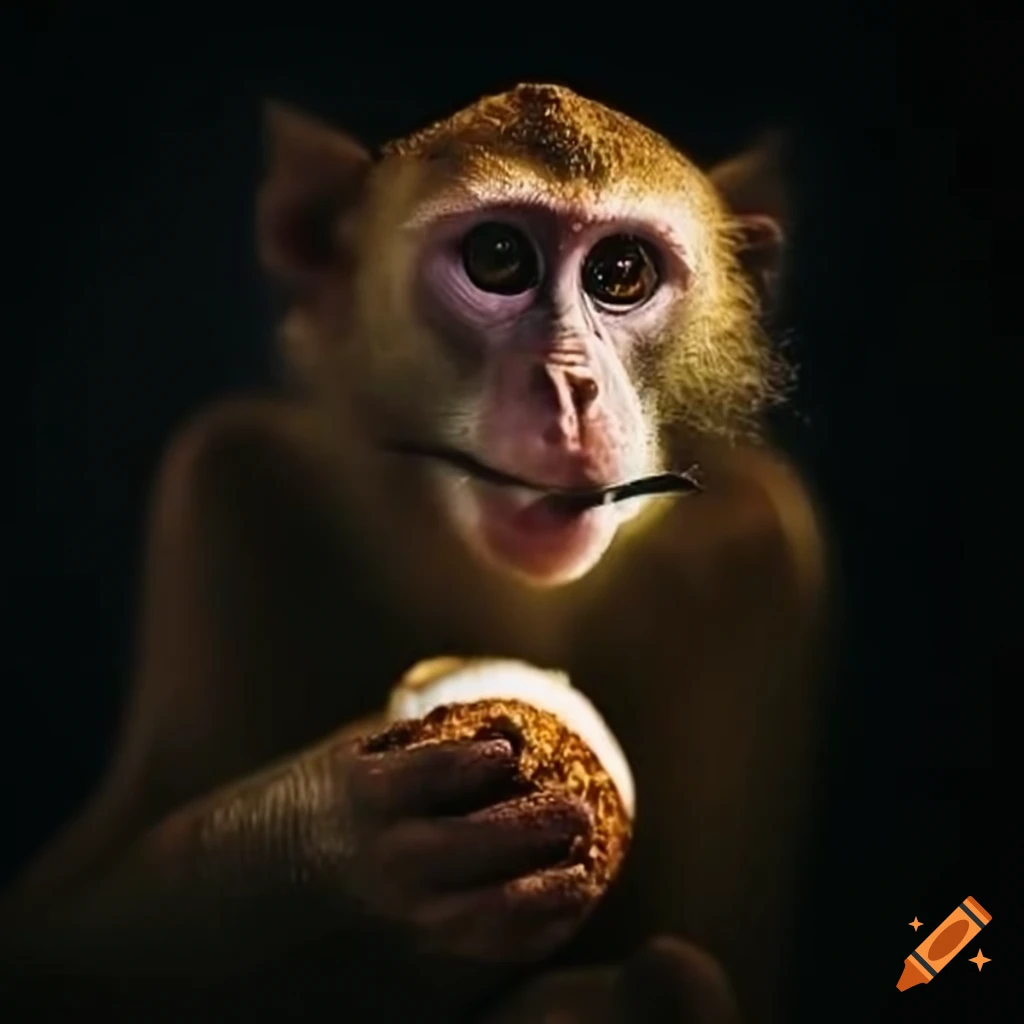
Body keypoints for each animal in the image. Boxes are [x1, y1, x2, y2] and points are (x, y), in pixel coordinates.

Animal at [1, 84, 826, 1022]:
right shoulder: (229, 476)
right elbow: (49, 945)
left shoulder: (755, 543)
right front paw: (330, 841)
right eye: (498, 258)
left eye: (621, 273)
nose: (570, 388)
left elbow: (704, 967)